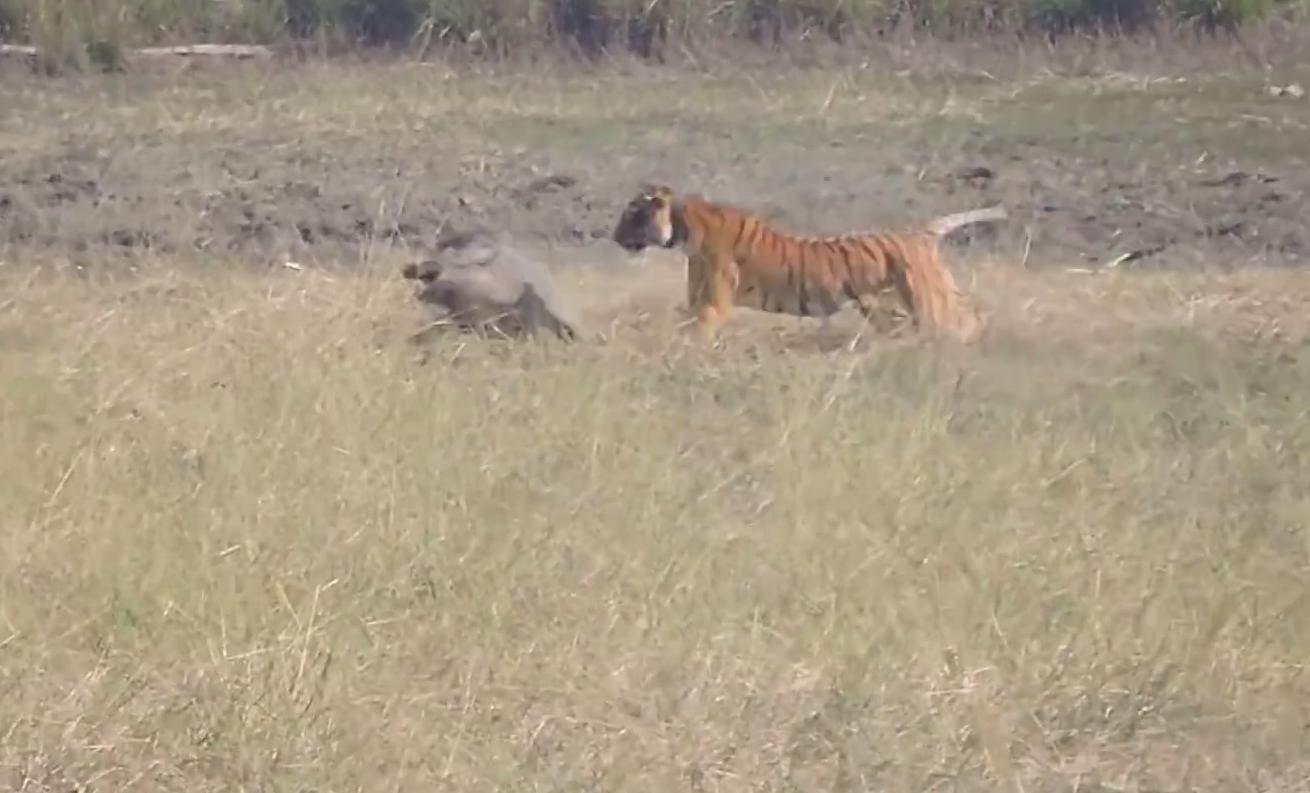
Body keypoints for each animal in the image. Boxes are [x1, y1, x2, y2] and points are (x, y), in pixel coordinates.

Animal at [611, 184, 1007, 345]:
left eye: (630, 215)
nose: (614, 237)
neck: (681, 226)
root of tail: (920, 231)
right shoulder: (697, 296)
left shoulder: (713, 303)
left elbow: (698, 328)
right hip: (889, 305)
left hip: (927, 300)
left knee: (968, 319)